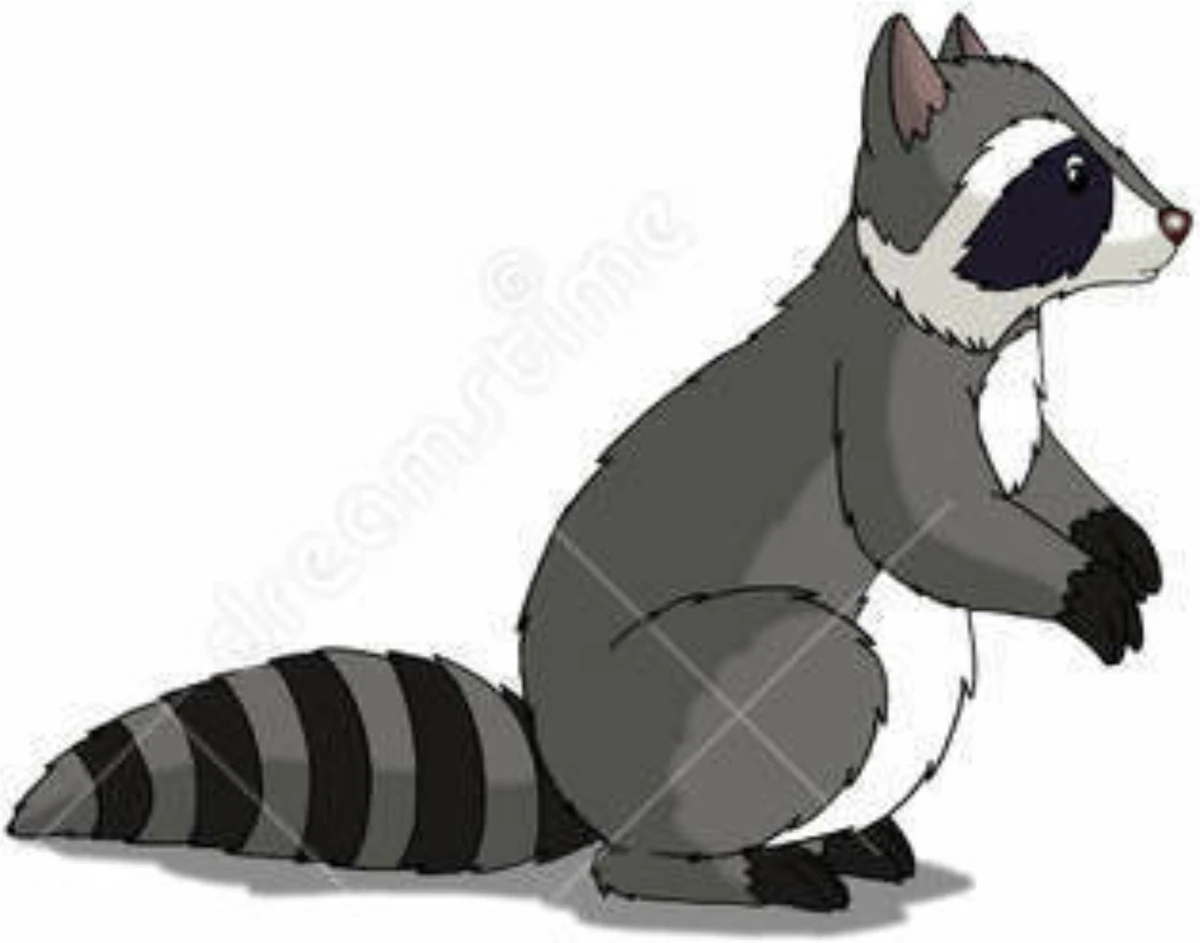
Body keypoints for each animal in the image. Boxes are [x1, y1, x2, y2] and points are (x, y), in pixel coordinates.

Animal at [11, 13, 1188, 912]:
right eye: (1073, 176)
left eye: (1102, 139)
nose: (1180, 219)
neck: (996, 326)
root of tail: (579, 770)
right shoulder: (878, 393)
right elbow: (936, 526)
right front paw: (1074, 584)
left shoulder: (1006, 401)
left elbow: (1040, 478)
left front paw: (1110, 532)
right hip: (702, 704)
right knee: (816, 667)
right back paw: (719, 870)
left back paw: (836, 839)